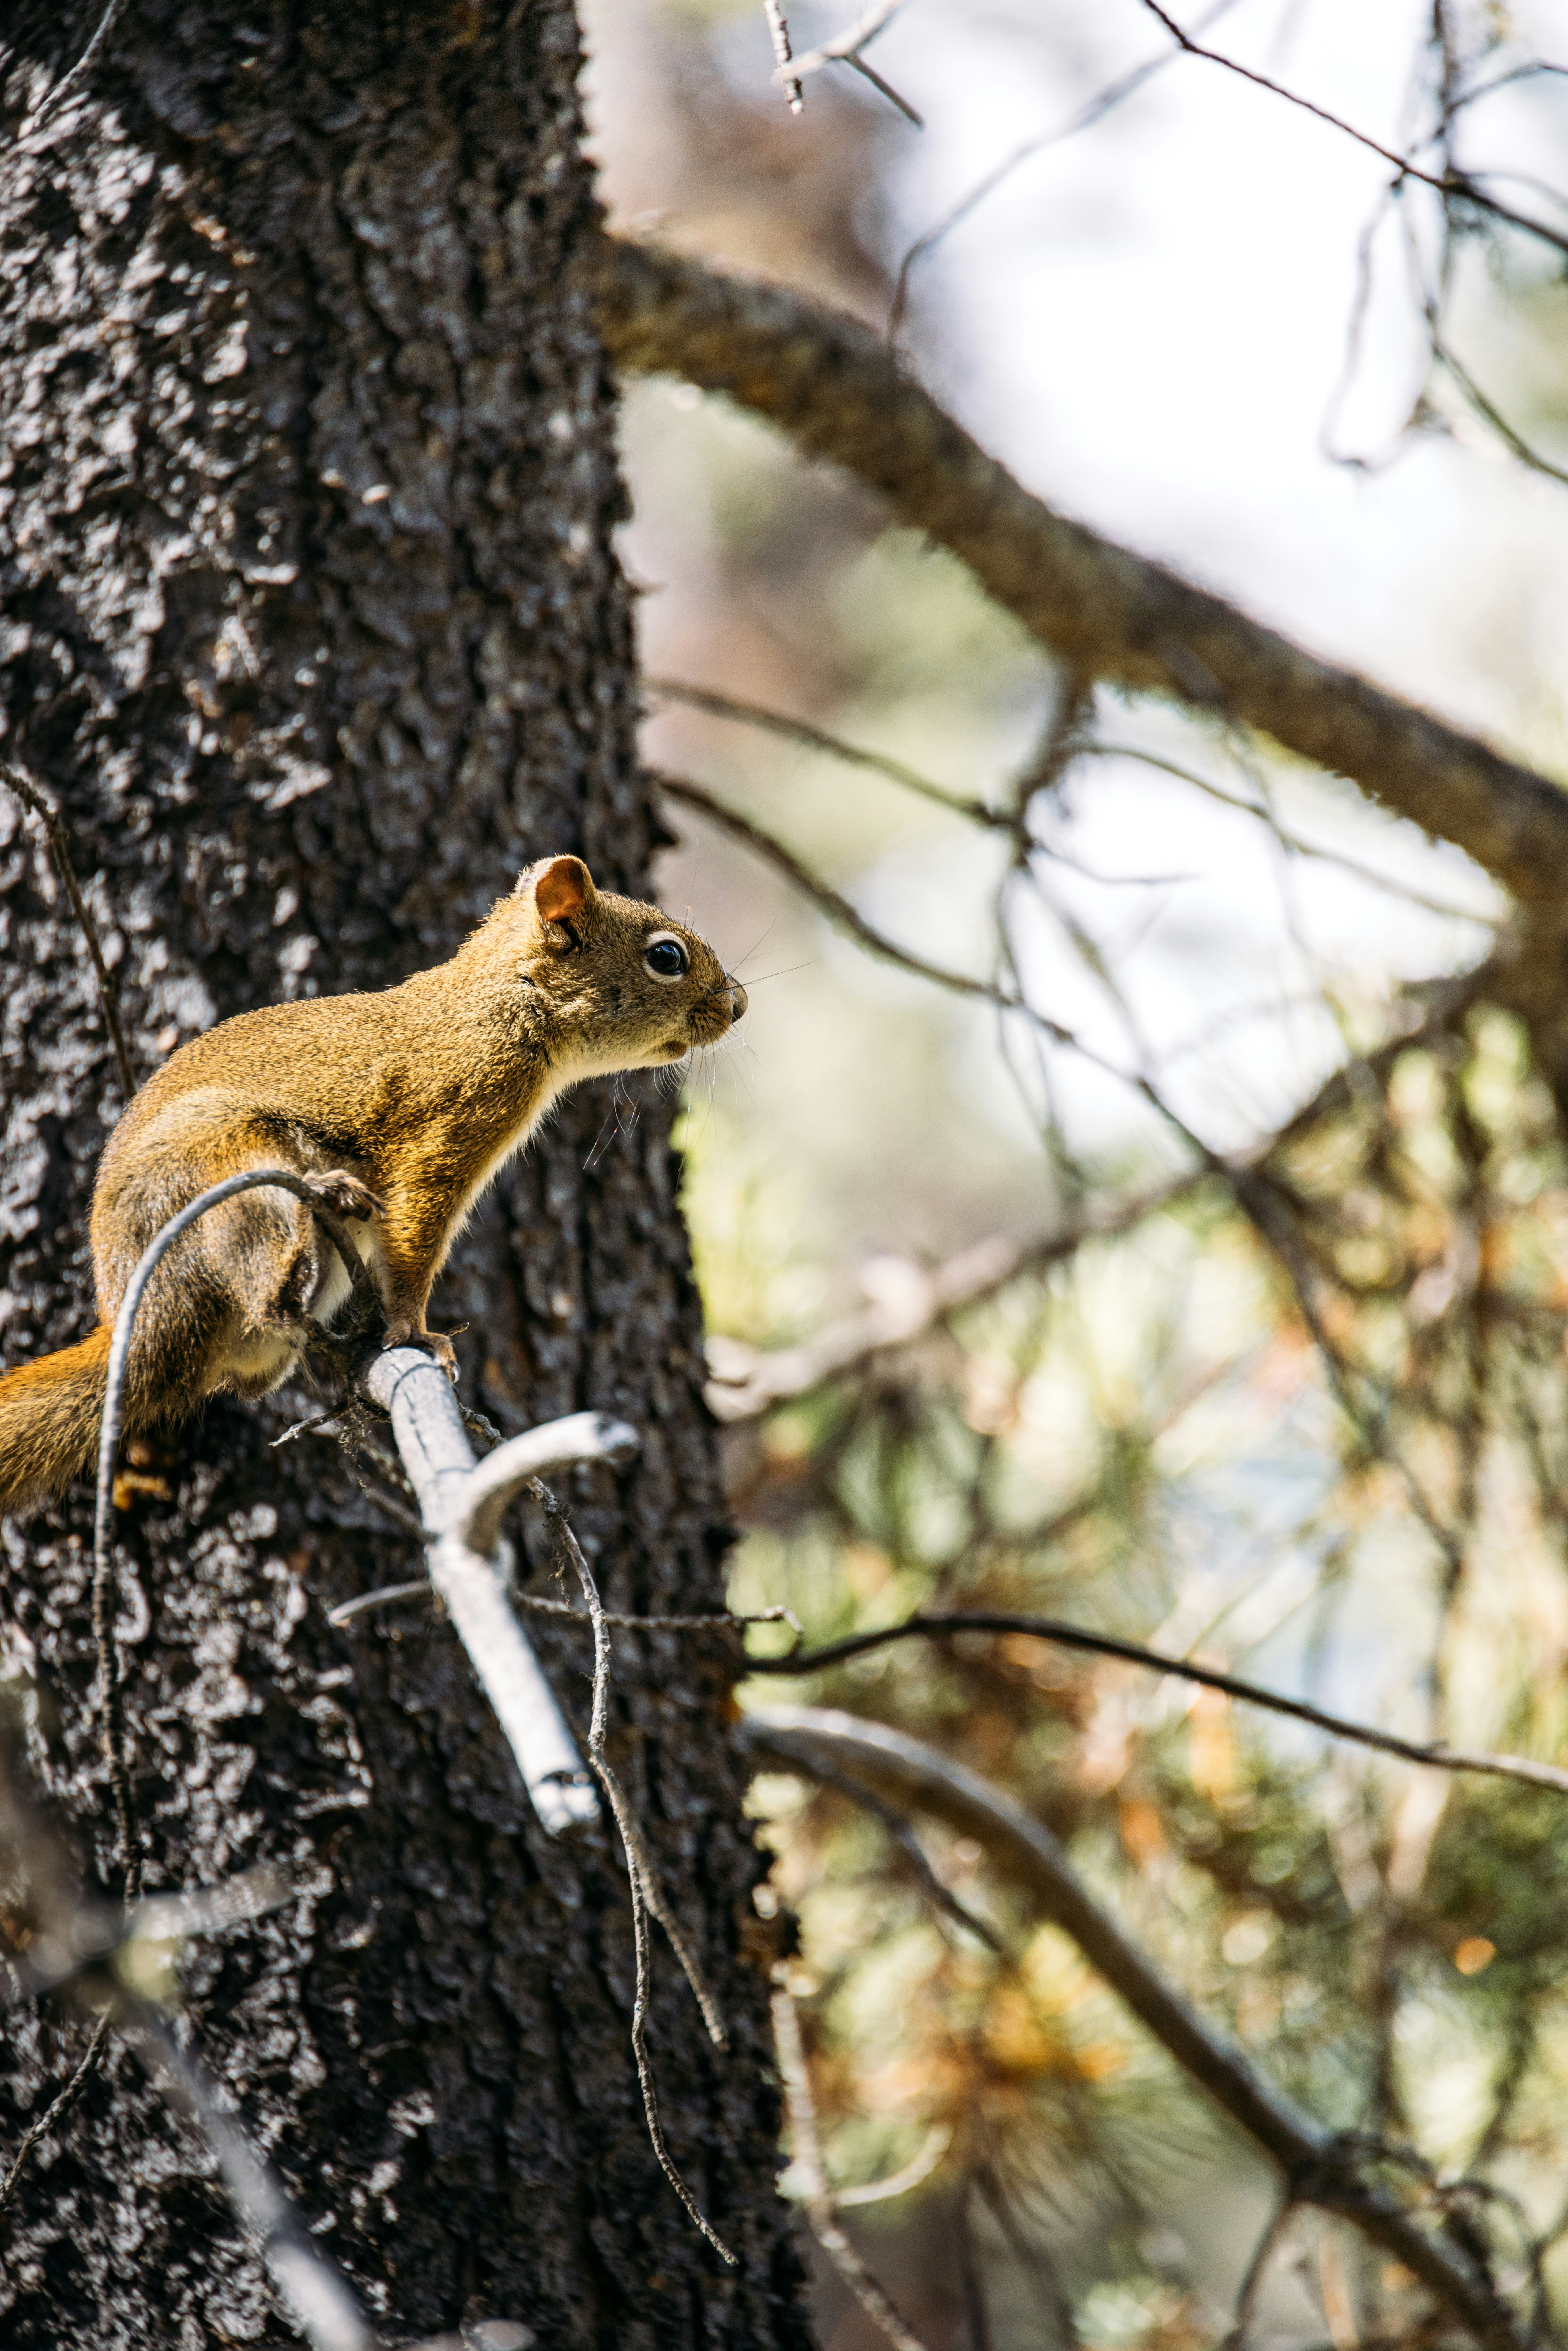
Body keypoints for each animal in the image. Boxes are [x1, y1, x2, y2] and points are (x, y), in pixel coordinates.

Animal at [0, 855, 746, 1515]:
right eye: (667, 957)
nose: (738, 1004)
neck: (505, 1000)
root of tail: (137, 1312)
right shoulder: (445, 1128)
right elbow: (415, 1232)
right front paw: (417, 1331)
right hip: (226, 1172)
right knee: (262, 1274)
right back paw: (313, 1227)